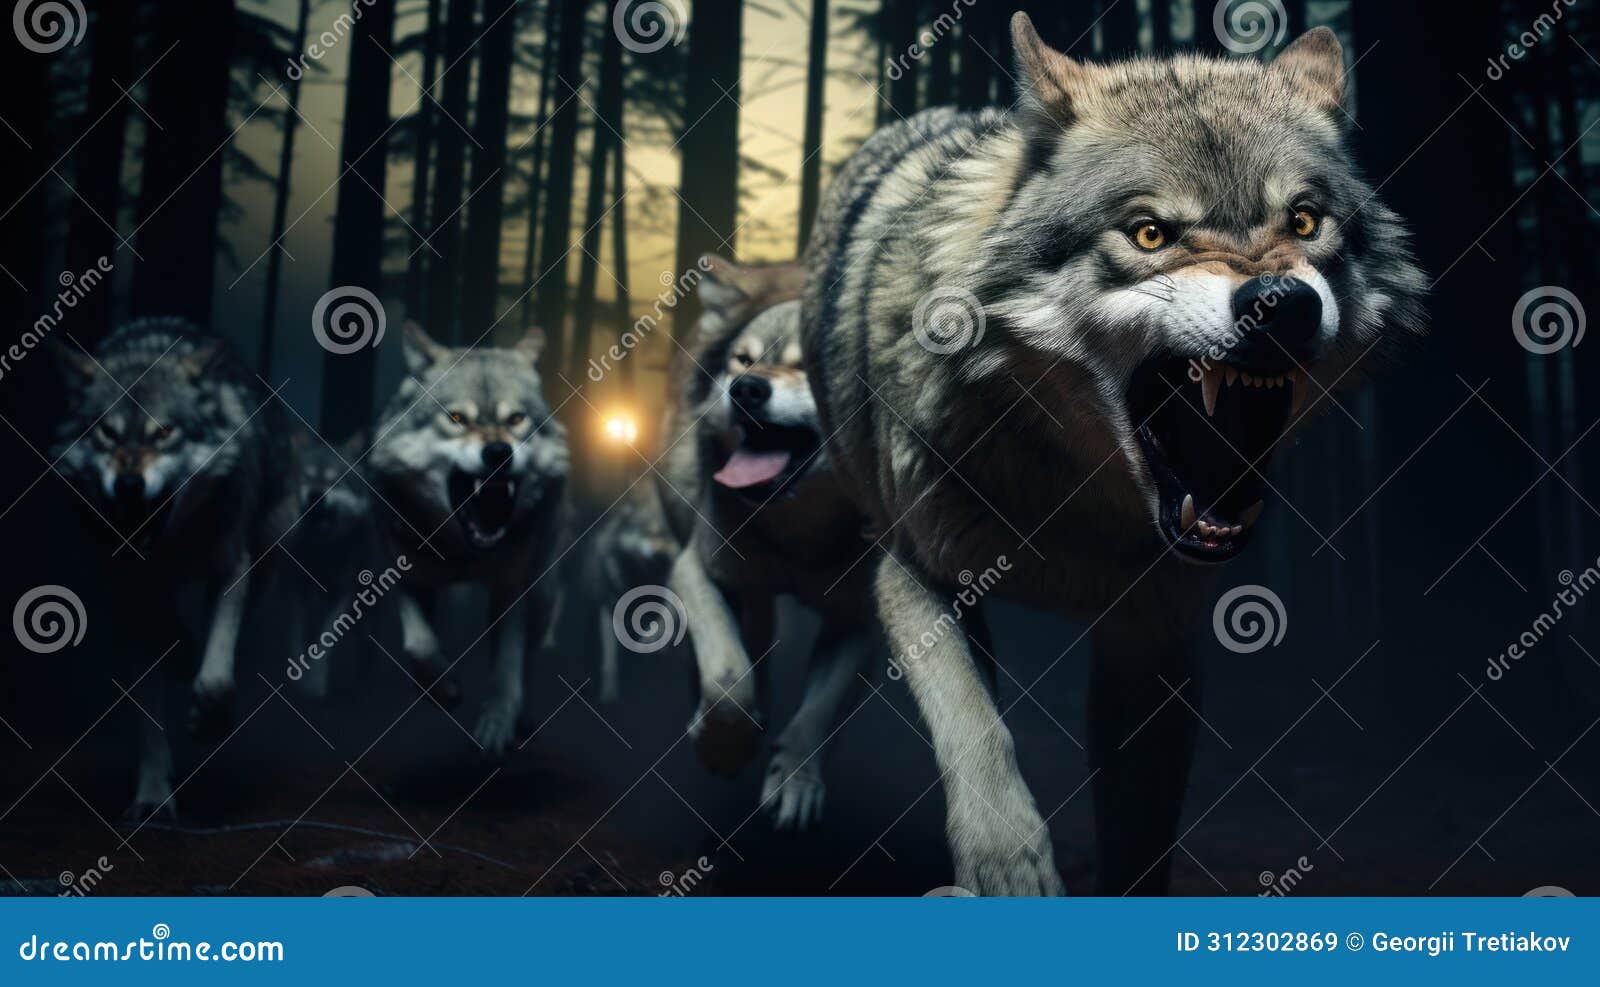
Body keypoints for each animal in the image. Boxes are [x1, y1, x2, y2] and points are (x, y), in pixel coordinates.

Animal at [52, 317, 297, 819]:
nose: (128, 484)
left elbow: (217, 673)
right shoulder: (126, 581)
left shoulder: (231, 566)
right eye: (107, 434)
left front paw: (209, 717)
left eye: (164, 433)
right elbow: (158, 643)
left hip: (269, 547)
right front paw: (152, 795)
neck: (173, 543)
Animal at [367, 323, 569, 758]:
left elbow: (508, 668)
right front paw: (441, 689)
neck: (464, 555)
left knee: (529, 652)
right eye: (457, 419)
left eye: (516, 419)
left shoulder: (511, 591)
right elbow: (419, 644)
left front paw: (498, 724)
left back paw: (523, 719)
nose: (498, 451)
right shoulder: (404, 576)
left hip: (542, 588)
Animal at [657, 255, 876, 830]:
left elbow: (817, 713)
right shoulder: (694, 570)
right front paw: (725, 747)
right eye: (743, 361)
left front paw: (796, 780)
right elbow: (728, 677)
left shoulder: (857, 621)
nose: (747, 389)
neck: (795, 534)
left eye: (809, 367)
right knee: (746, 640)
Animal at [799, 17, 1426, 893]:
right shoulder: (915, 572)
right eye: (1150, 232)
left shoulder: (1153, 637)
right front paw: (1008, 865)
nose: (1279, 303)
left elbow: (1141, 834)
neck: (1072, 507)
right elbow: (977, 728)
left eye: (1304, 222)